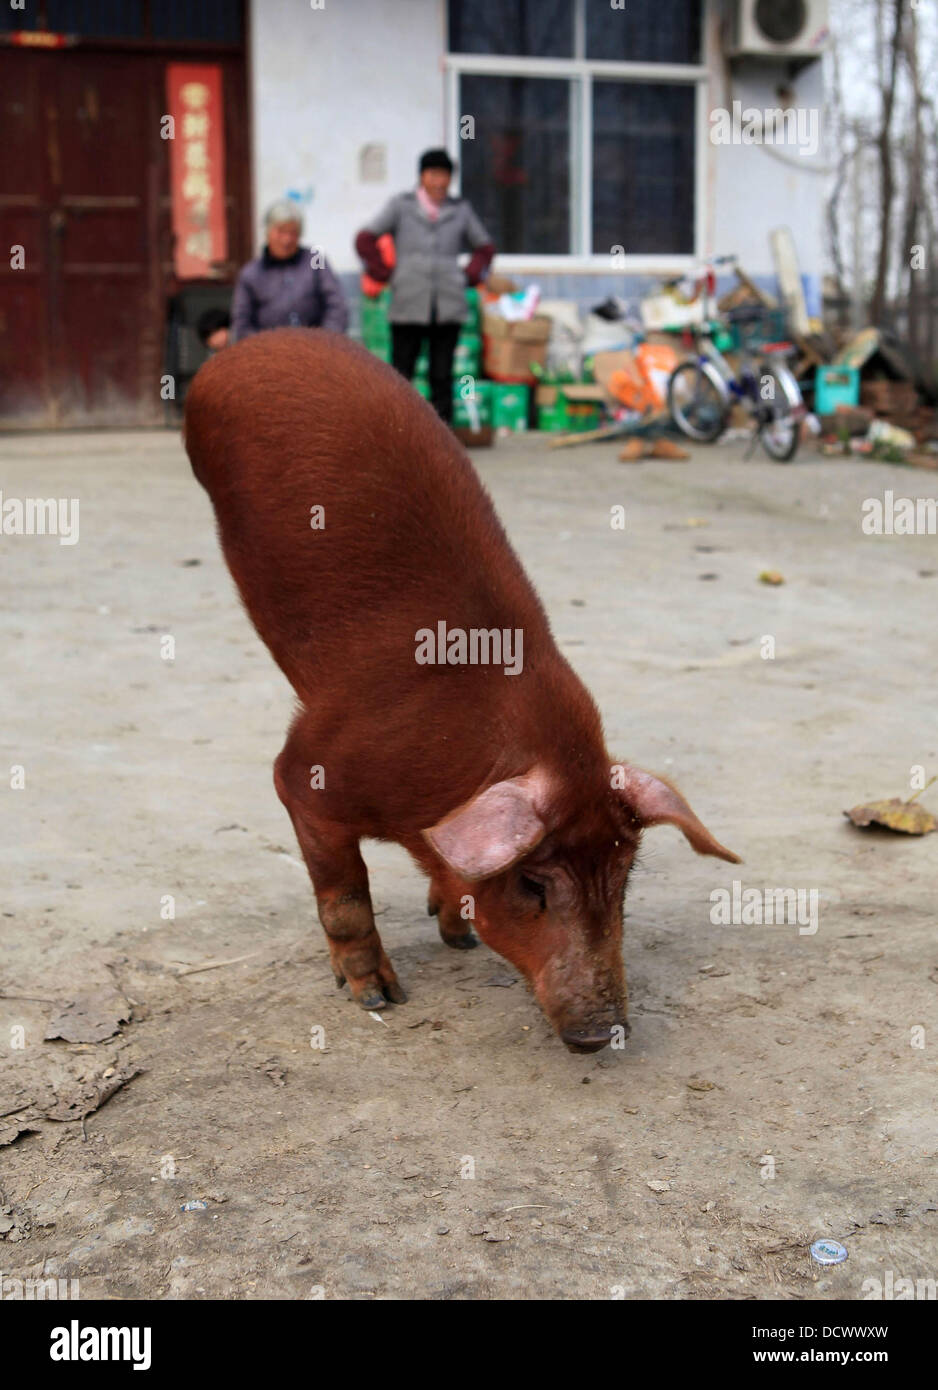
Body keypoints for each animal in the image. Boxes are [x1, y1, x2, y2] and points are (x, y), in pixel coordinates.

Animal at [185, 328, 739, 1053]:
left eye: (624, 877)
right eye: (532, 884)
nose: (603, 1033)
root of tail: (259, 341)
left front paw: (458, 938)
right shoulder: (309, 772)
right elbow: (343, 891)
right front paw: (379, 997)